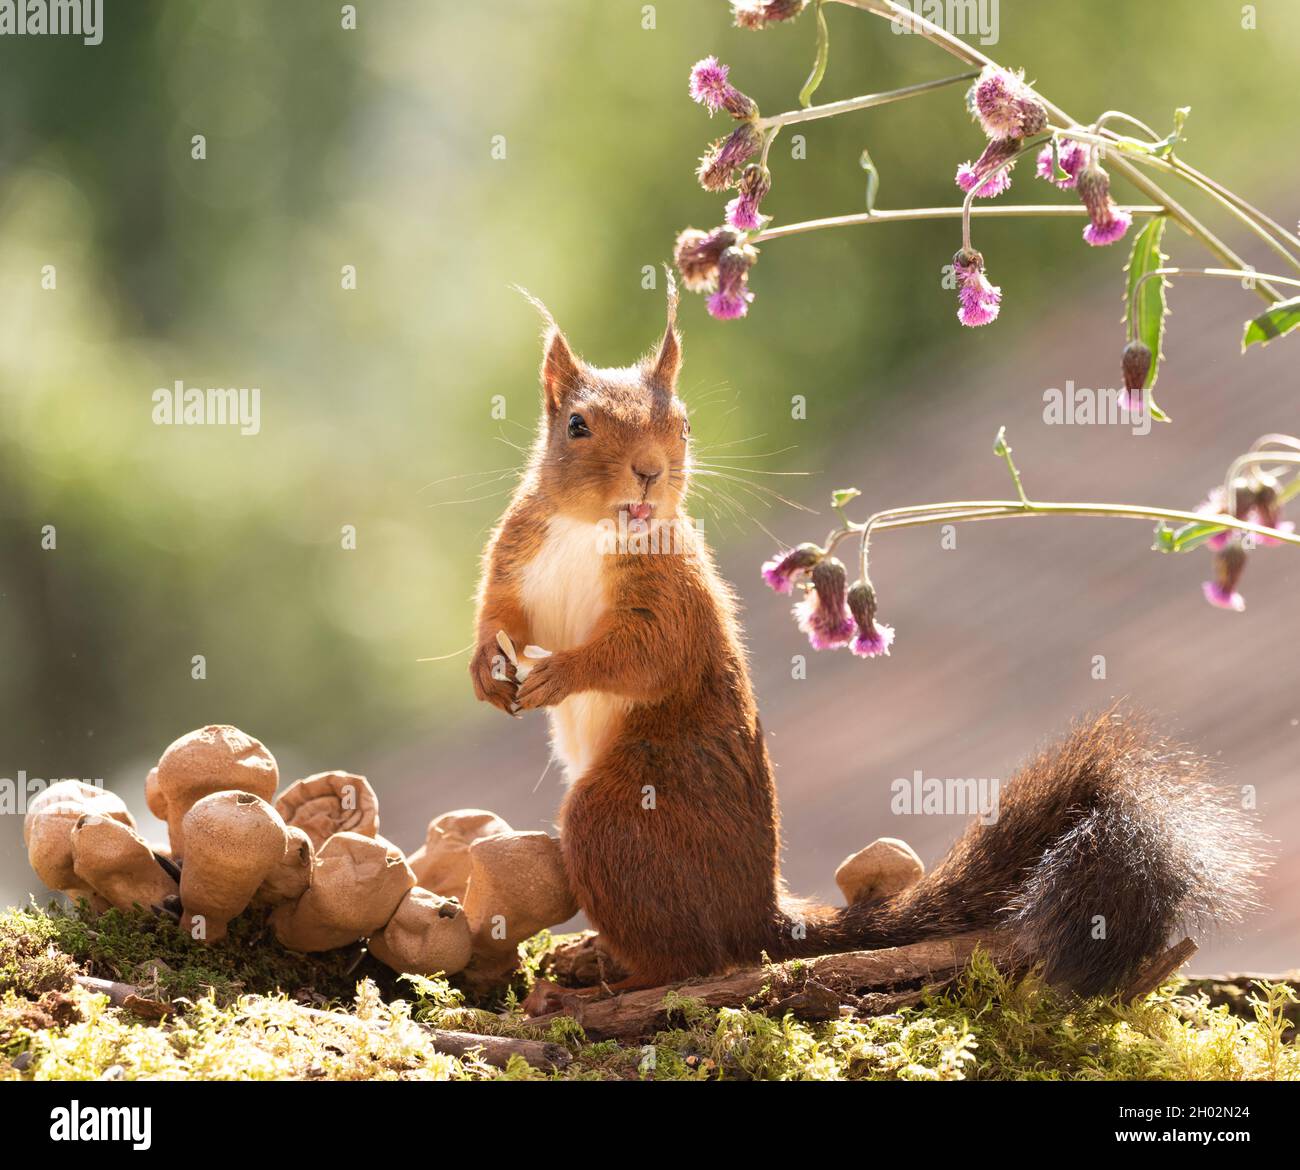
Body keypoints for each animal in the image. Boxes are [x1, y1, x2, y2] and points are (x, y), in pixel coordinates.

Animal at [470, 282, 1264, 996]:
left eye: (685, 425)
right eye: (576, 425)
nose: (649, 471)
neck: (588, 530)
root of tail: (756, 913)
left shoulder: (673, 599)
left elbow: (645, 654)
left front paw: (561, 672)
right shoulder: (514, 558)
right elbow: (499, 615)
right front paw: (487, 668)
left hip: (626, 812)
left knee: (688, 959)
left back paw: (594, 977)